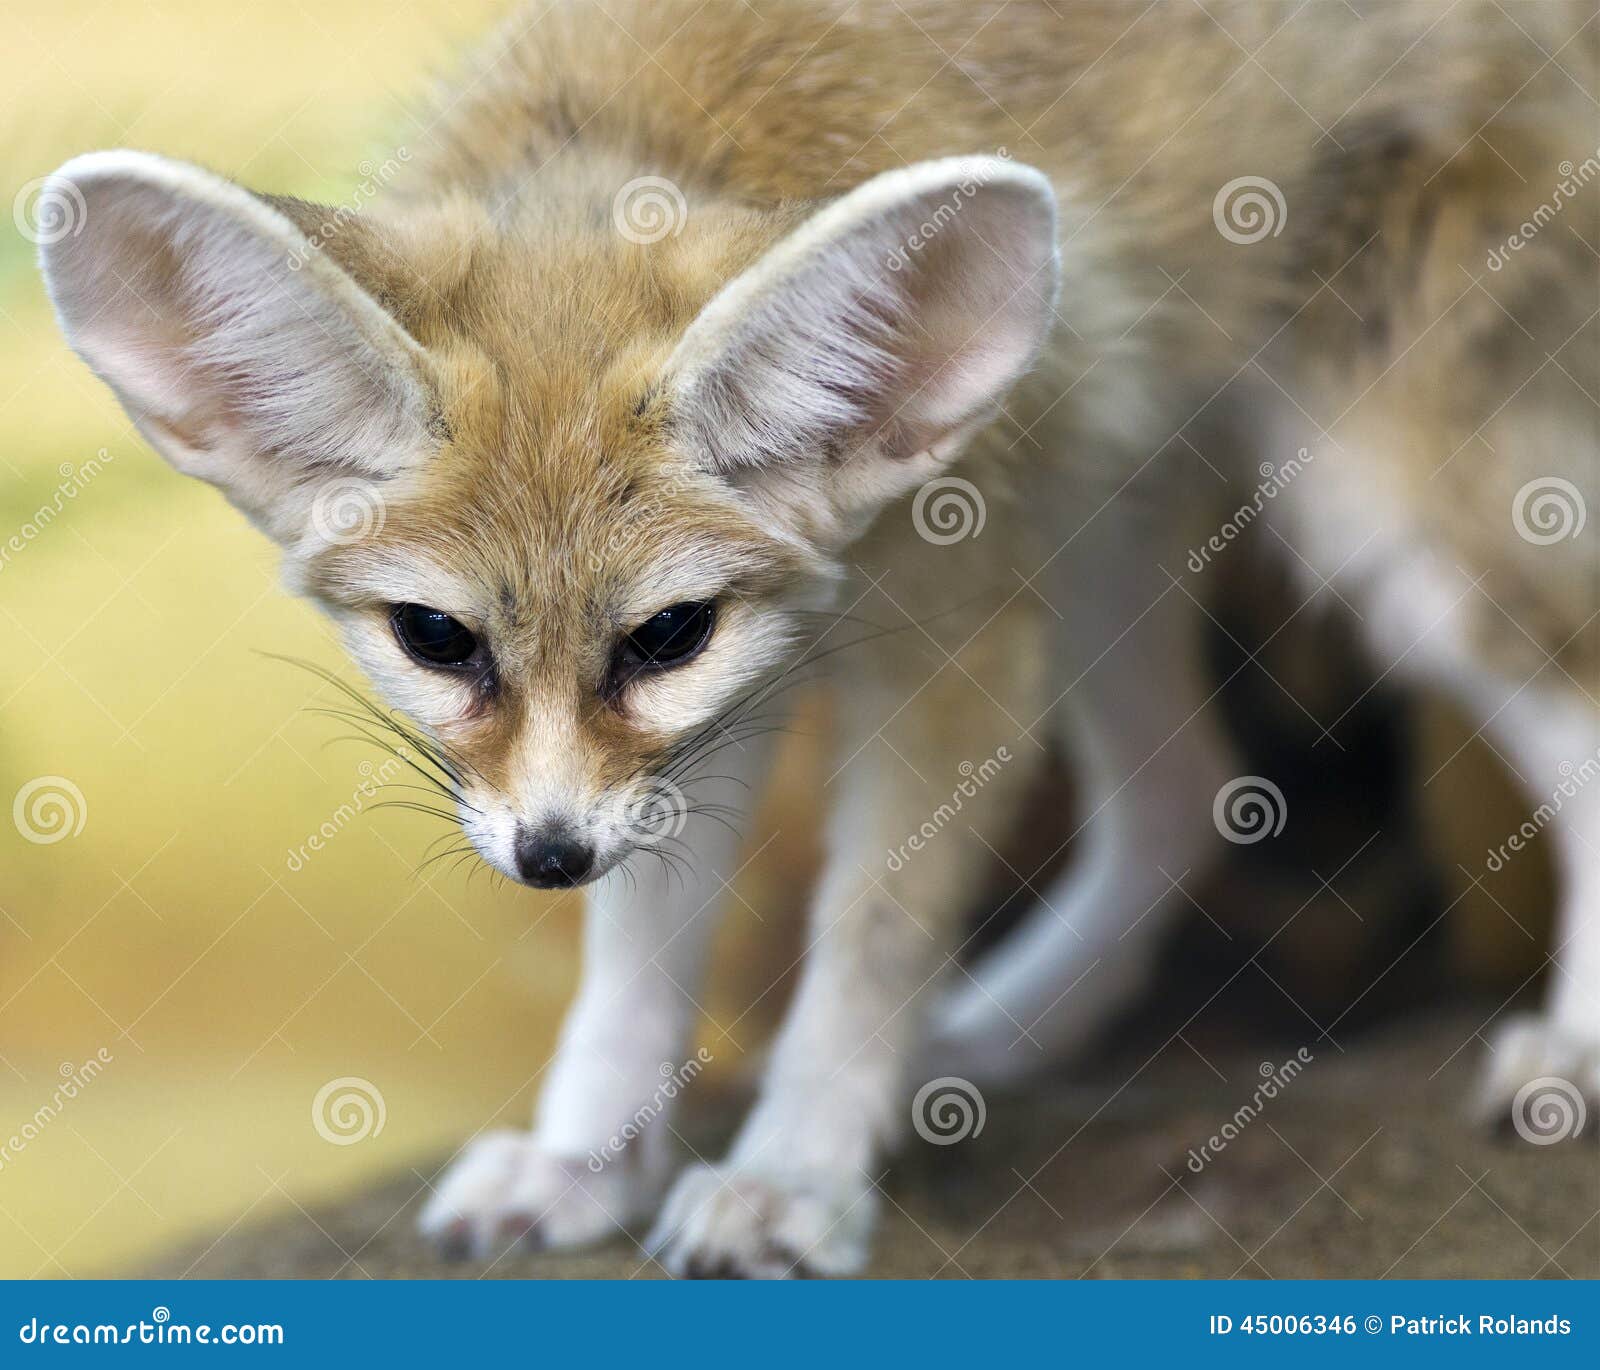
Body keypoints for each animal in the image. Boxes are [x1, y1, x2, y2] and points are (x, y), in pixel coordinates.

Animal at [38, 0, 1598, 1277]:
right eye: (437, 636)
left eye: (667, 631)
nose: (547, 859)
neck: (649, 123)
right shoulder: (695, 740)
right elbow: (637, 959)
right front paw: (585, 1159)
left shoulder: (944, 645)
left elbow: (867, 932)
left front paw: (791, 1176)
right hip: (1107, 528)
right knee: (1190, 786)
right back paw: (991, 1036)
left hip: (1380, 512)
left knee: (1566, 720)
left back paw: (1572, 1047)